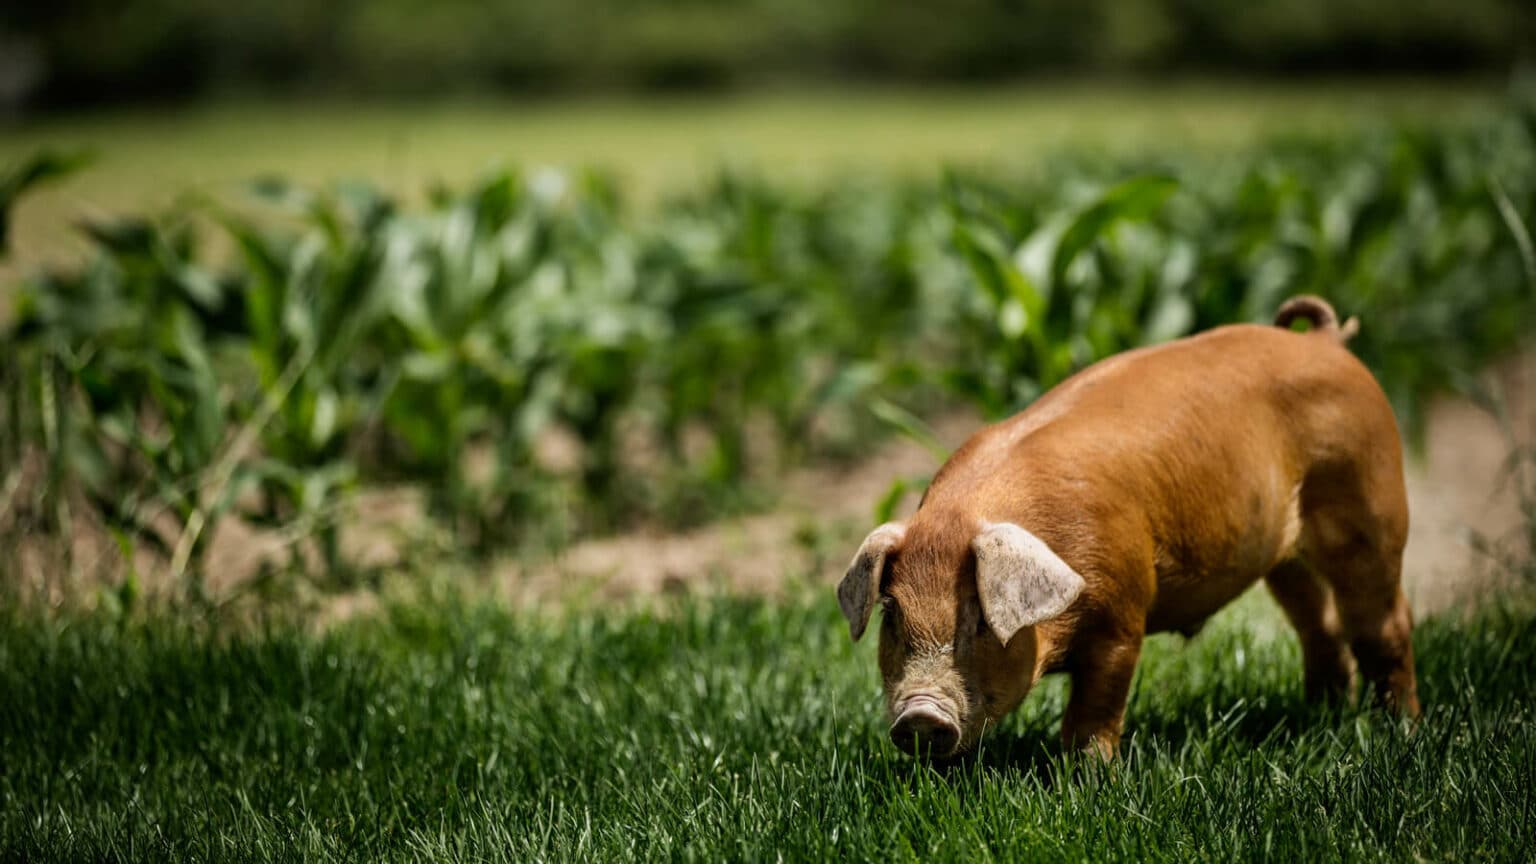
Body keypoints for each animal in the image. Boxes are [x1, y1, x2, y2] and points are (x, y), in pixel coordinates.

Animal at [837, 295, 1418, 759]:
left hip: (1371, 504)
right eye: (892, 616)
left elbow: (1094, 711)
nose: (919, 715)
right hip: (1284, 558)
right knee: (1318, 624)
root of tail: (1327, 342)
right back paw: (1322, 710)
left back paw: (1398, 729)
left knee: (1384, 624)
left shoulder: (1122, 614)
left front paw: (1086, 777)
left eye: (979, 620)